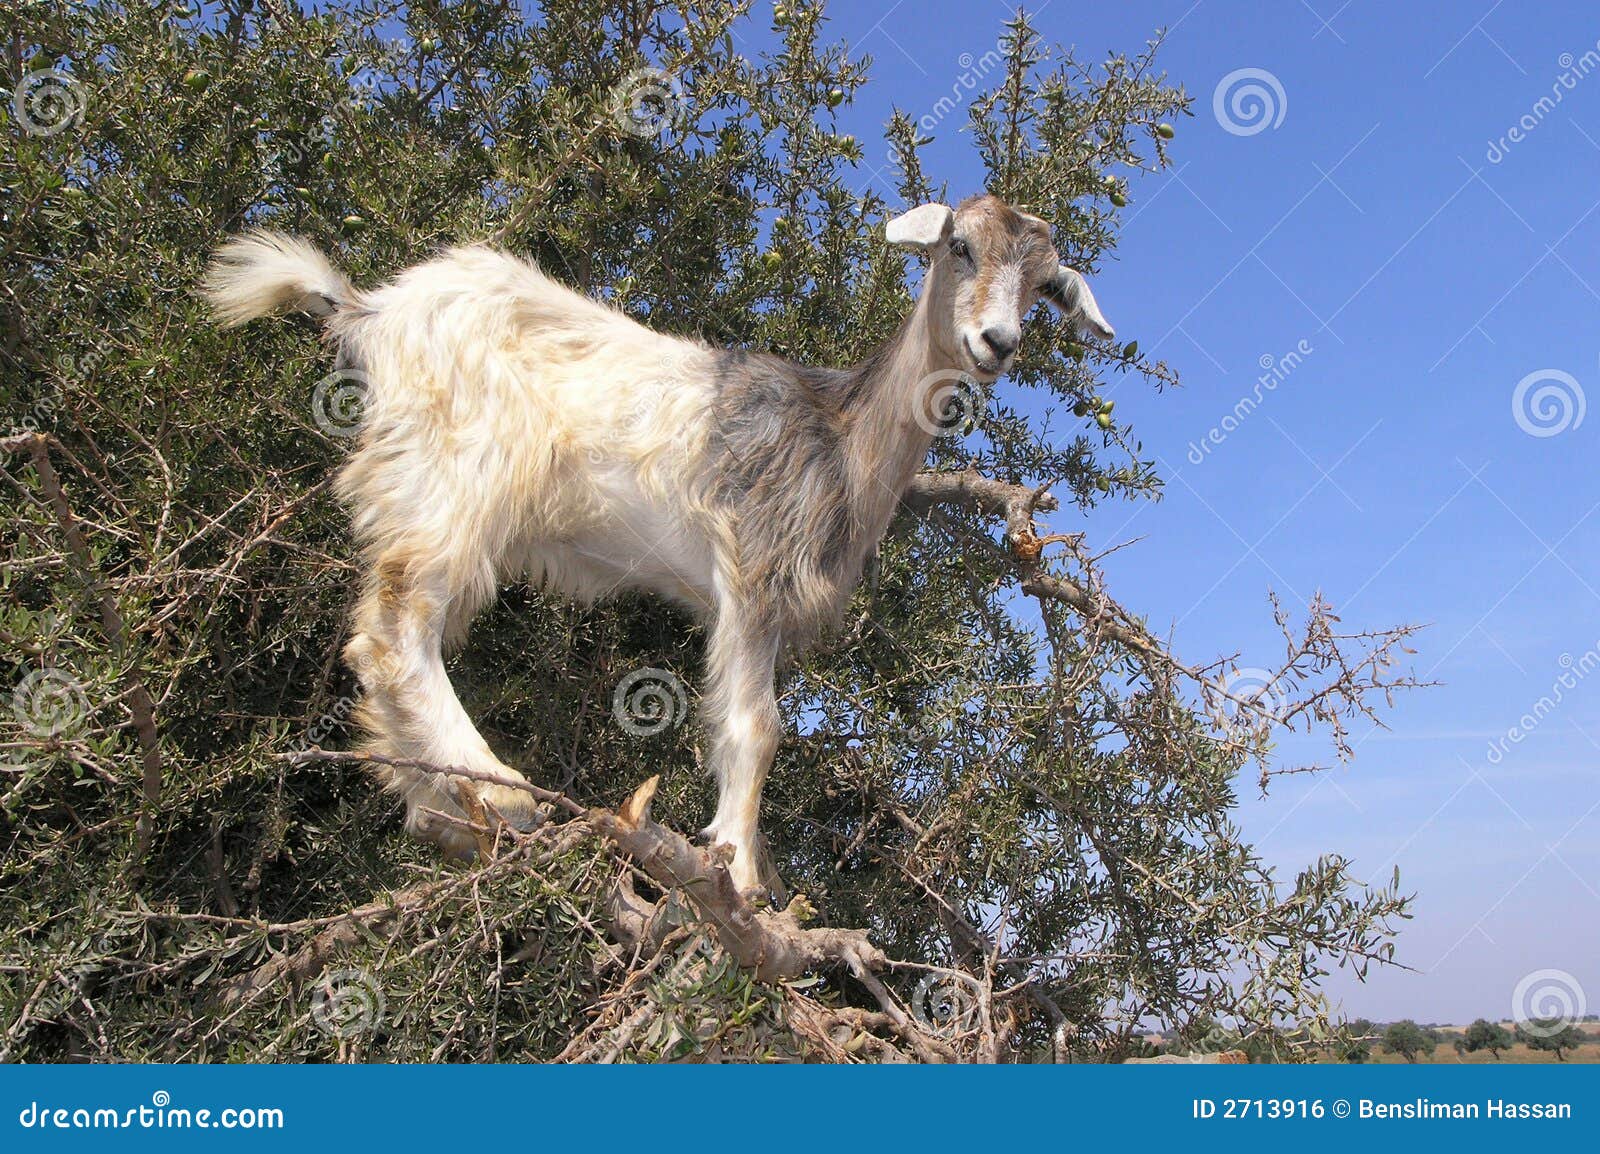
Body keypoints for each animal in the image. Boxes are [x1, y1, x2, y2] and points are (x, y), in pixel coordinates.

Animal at [203, 194, 1114, 895]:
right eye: (960, 247)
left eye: (1044, 286)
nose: (997, 344)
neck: (841, 435)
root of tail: (371, 310)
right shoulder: (749, 575)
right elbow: (755, 728)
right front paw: (739, 873)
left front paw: (761, 877)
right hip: (452, 477)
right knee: (395, 627)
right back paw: (500, 792)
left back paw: (435, 803)